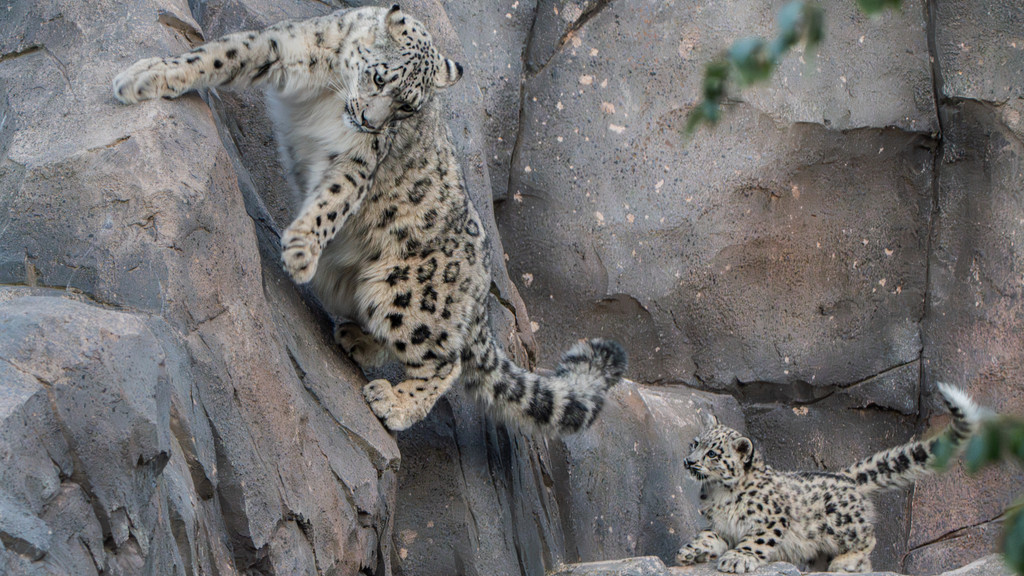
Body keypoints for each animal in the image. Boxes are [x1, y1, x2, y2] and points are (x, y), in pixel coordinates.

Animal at [112, 5, 626, 433]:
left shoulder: (360, 159)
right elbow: (220, 54)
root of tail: (483, 290)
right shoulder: (281, 47)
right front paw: (147, 76)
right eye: (380, 77)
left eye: (409, 106)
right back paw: (356, 339)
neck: (330, 88)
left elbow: (333, 200)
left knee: (445, 361)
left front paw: (300, 251)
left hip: (407, 289)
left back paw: (394, 404)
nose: (371, 121)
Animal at [675, 383, 983, 573]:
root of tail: (844, 476)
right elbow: (710, 536)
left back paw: (845, 563)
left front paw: (737, 559)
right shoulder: (718, 524)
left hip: (841, 522)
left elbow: (756, 540)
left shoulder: (772, 519)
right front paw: (691, 551)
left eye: (712, 453)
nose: (688, 461)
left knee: (868, 539)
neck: (719, 493)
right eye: (695, 443)